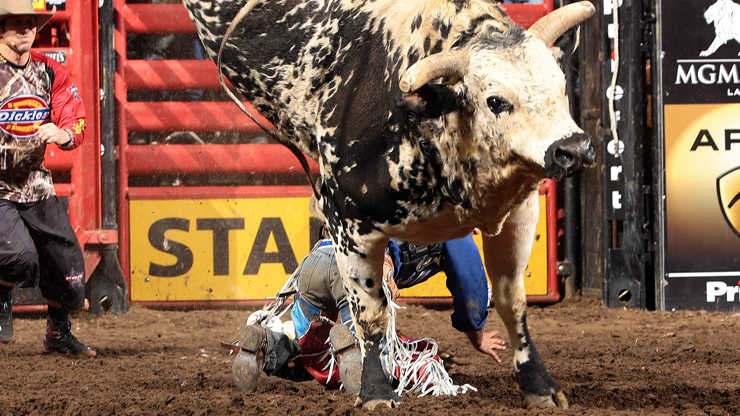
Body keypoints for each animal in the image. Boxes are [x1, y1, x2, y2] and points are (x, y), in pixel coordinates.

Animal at [183, 0, 596, 409]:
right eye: (495, 100)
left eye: (561, 85)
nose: (573, 149)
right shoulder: (347, 220)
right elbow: (372, 314)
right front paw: (376, 391)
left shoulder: (519, 209)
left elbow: (511, 301)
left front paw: (539, 385)